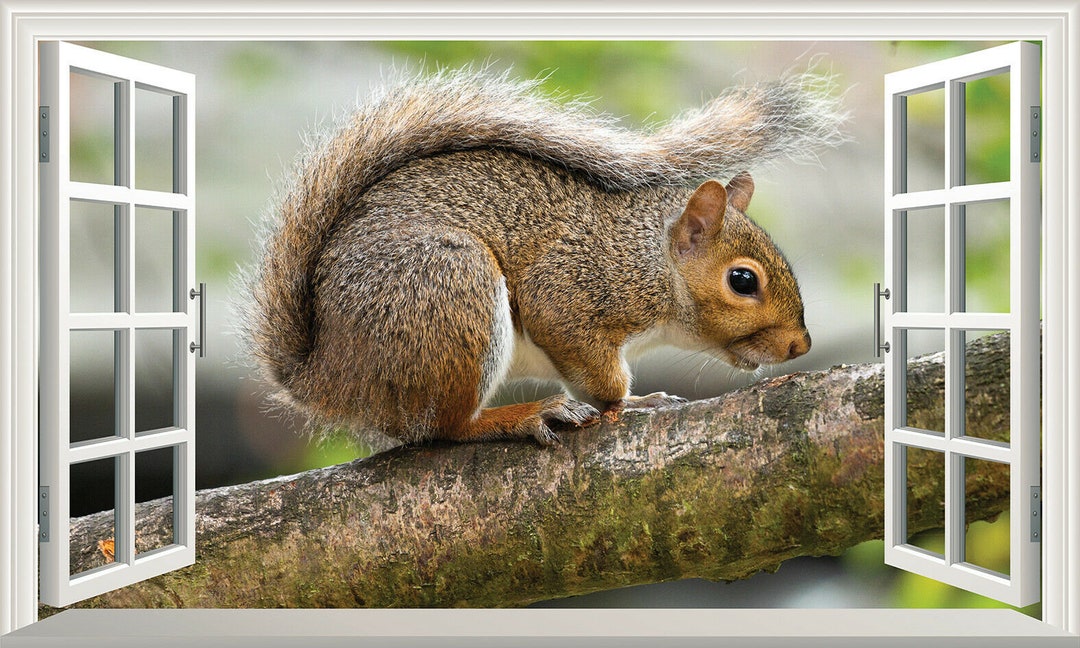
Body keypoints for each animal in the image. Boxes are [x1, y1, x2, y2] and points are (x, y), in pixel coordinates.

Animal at [242, 67, 846, 446]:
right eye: (742, 281)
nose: (800, 346)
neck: (650, 259)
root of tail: (325, 374)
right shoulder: (572, 292)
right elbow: (595, 370)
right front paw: (631, 403)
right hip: (451, 292)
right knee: (442, 428)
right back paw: (523, 414)